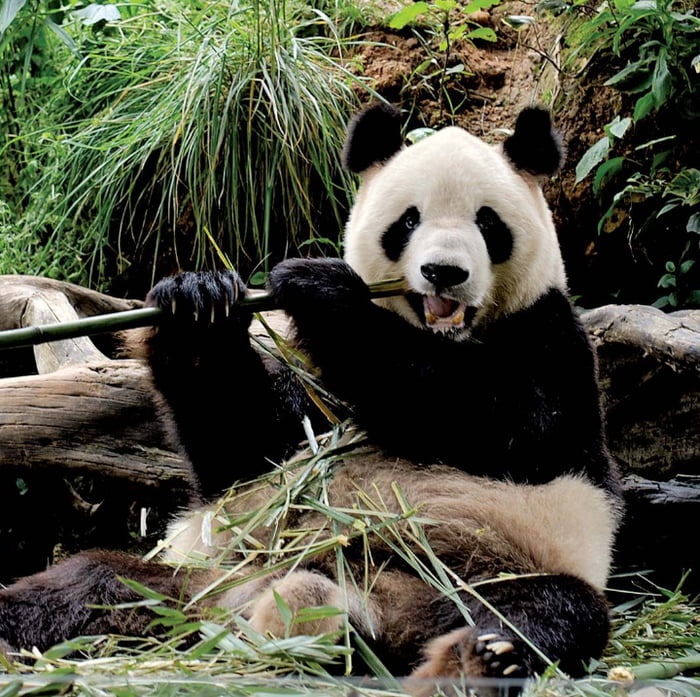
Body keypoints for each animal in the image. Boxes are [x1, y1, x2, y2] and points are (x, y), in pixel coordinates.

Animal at [0, 103, 623, 686]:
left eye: (488, 223)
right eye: (409, 220)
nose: (443, 272)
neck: (445, 336)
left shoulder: (553, 338)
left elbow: (516, 422)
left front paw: (322, 289)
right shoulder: (306, 409)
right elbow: (243, 448)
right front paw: (197, 303)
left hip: (479, 569)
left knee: (539, 609)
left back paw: (476, 660)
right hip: (201, 580)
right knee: (93, 582)